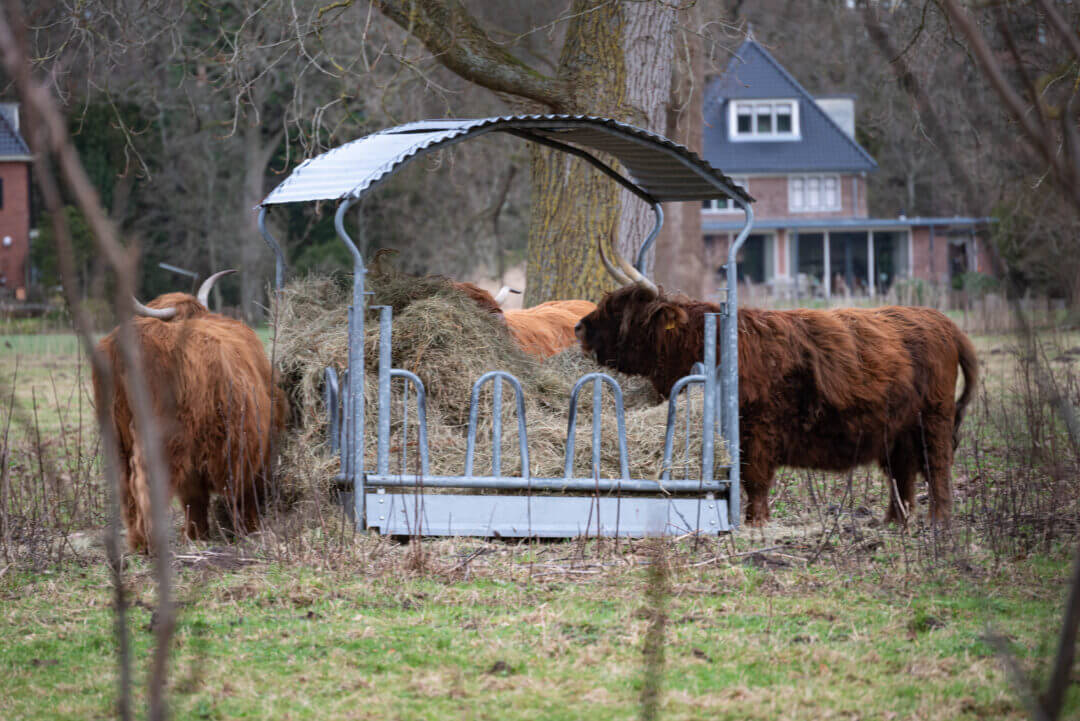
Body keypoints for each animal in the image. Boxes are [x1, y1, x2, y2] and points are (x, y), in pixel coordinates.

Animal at [92, 270, 288, 552]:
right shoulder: (246, 444)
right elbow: (242, 488)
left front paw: (196, 535)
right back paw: (153, 541)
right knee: (148, 483)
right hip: (162, 440)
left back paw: (139, 542)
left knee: (127, 486)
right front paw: (248, 528)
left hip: (118, 439)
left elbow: (194, 497)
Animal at [575, 237, 978, 526]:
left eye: (617, 310)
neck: (708, 341)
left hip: (933, 420)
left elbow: (755, 478)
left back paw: (939, 524)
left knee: (937, 469)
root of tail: (942, 321)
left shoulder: (759, 427)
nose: (579, 327)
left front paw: (756, 522)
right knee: (903, 475)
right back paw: (894, 523)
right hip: (896, 430)